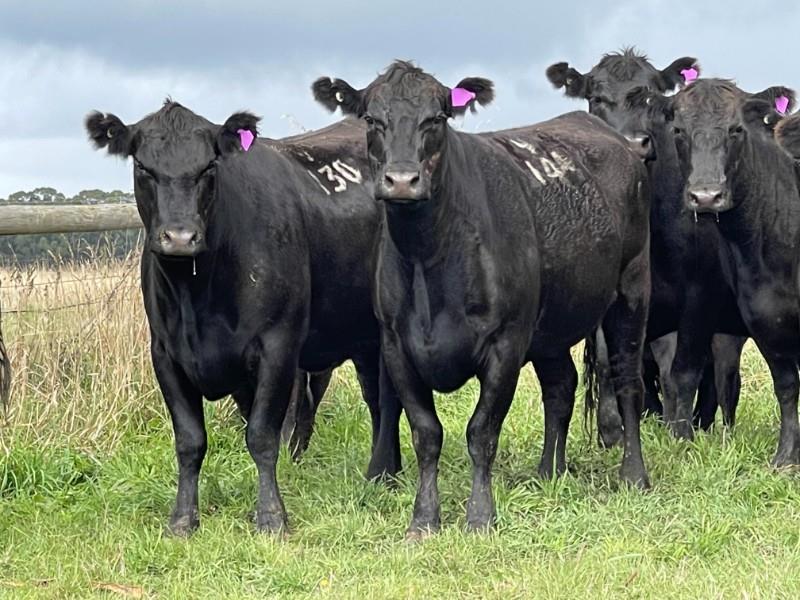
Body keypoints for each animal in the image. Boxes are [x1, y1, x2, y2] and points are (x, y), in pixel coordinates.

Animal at [85, 102, 402, 535]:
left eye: (209, 167)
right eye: (143, 168)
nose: (180, 237)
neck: (196, 297)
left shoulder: (277, 347)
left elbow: (263, 435)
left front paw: (271, 516)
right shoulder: (165, 354)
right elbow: (190, 441)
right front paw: (182, 519)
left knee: (385, 401)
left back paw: (382, 476)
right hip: (360, 337)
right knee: (375, 399)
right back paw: (386, 474)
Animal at [312, 61, 651, 536]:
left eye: (436, 119)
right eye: (372, 120)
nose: (402, 180)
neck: (428, 258)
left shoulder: (505, 344)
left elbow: (481, 432)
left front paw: (480, 515)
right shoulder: (396, 344)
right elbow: (426, 433)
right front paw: (424, 519)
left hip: (631, 291)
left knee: (627, 381)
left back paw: (634, 475)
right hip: (551, 325)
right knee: (561, 386)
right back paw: (550, 471)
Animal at [546, 49, 748, 439]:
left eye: (651, 98)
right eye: (596, 97)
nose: (632, 143)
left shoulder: (699, 294)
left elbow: (683, 370)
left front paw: (680, 434)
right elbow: (611, 364)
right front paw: (612, 432)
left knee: (721, 373)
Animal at [655, 78, 800, 466]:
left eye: (736, 129)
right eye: (679, 130)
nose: (706, 196)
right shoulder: (766, 320)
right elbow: (787, 387)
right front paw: (786, 458)